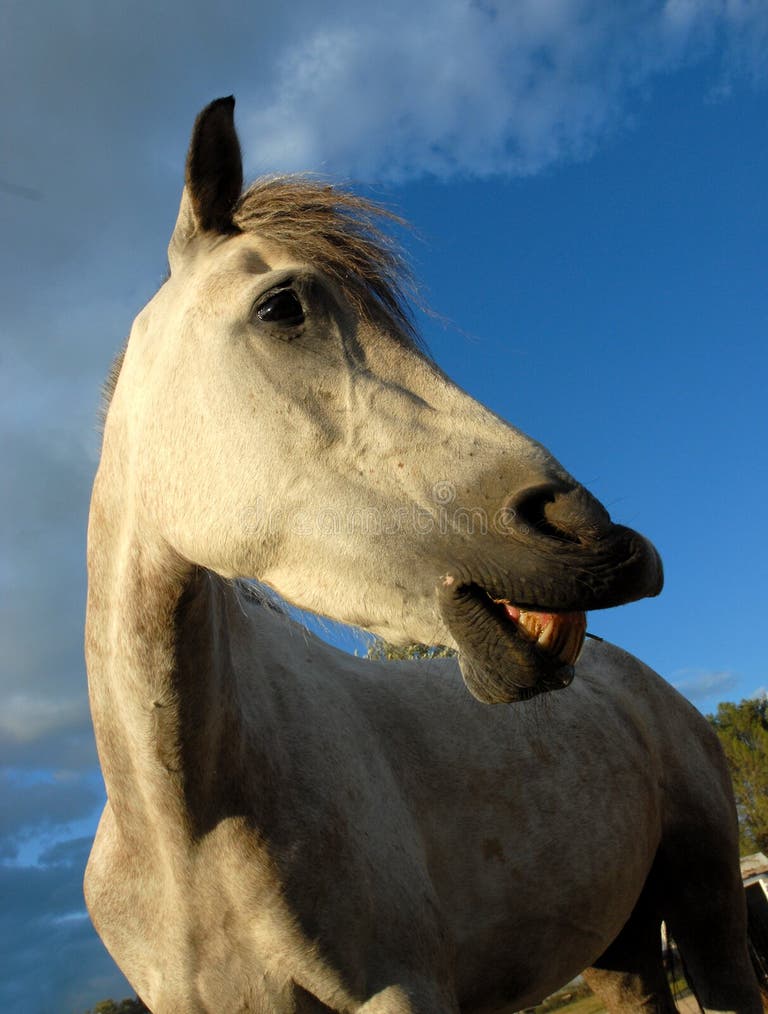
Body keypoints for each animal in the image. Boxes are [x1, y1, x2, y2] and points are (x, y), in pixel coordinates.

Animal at [84, 97, 761, 1013]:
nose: (598, 538)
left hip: (709, 905)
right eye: (281, 307)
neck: (181, 824)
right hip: (621, 948)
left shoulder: (400, 991)